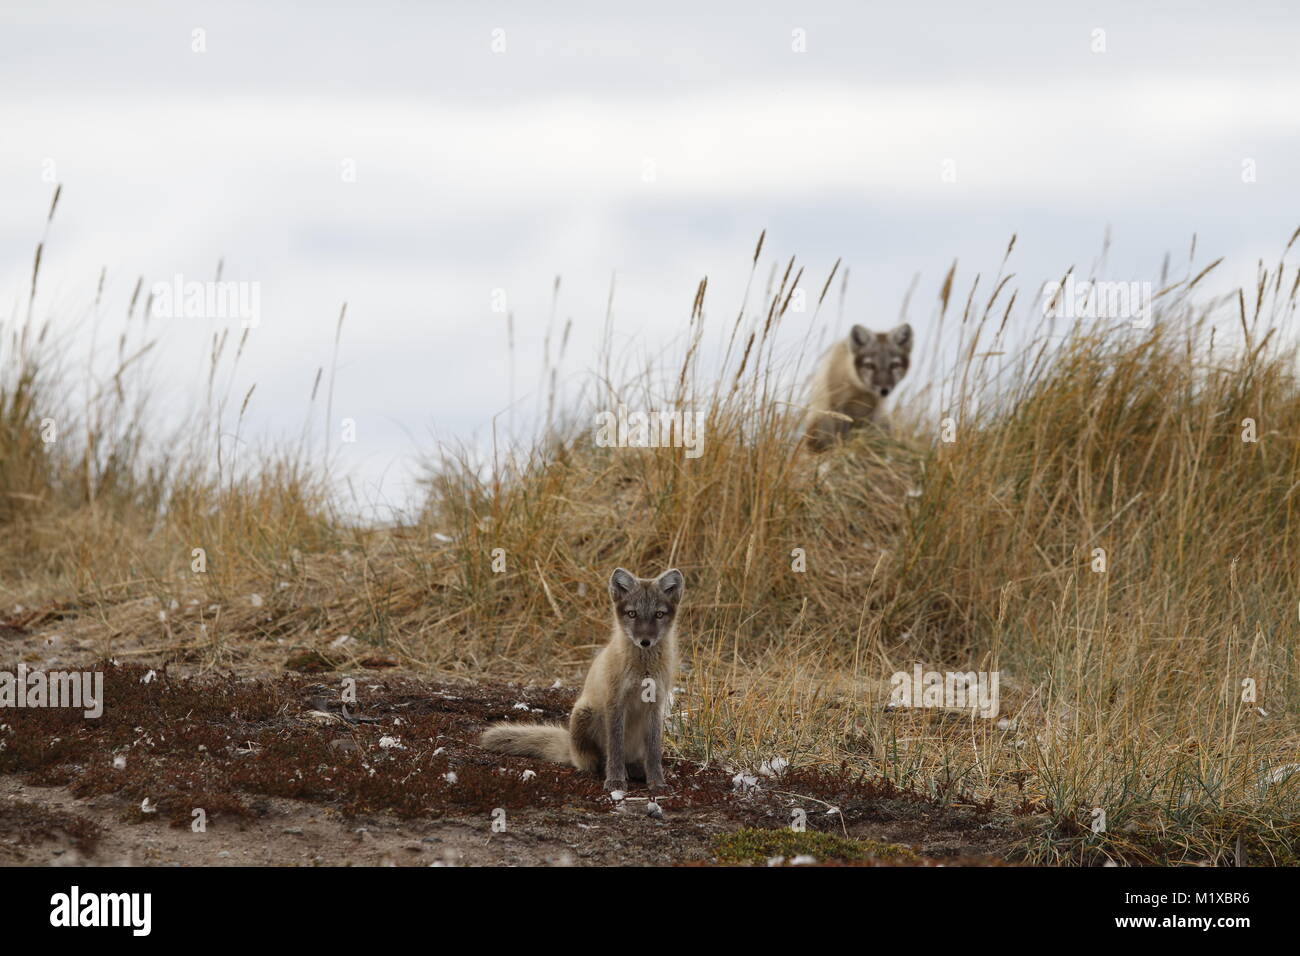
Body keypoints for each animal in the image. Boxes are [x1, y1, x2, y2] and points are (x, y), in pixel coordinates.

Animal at [479, 567, 684, 792]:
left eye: (659, 614)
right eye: (632, 613)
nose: (645, 641)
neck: (644, 670)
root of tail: (570, 747)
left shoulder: (655, 705)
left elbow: (654, 753)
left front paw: (657, 782)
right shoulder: (615, 702)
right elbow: (615, 748)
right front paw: (615, 780)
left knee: (634, 758)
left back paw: (637, 769)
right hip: (584, 713)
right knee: (596, 761)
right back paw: (612, 769)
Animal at [800, 323, 912, 451]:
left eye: (894, 365)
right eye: (870, 365)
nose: (884, 390)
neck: (859, 389)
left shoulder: (872, 409)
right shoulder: (839, 406)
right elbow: (840, 434)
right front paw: (841, 449)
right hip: (819, 418)